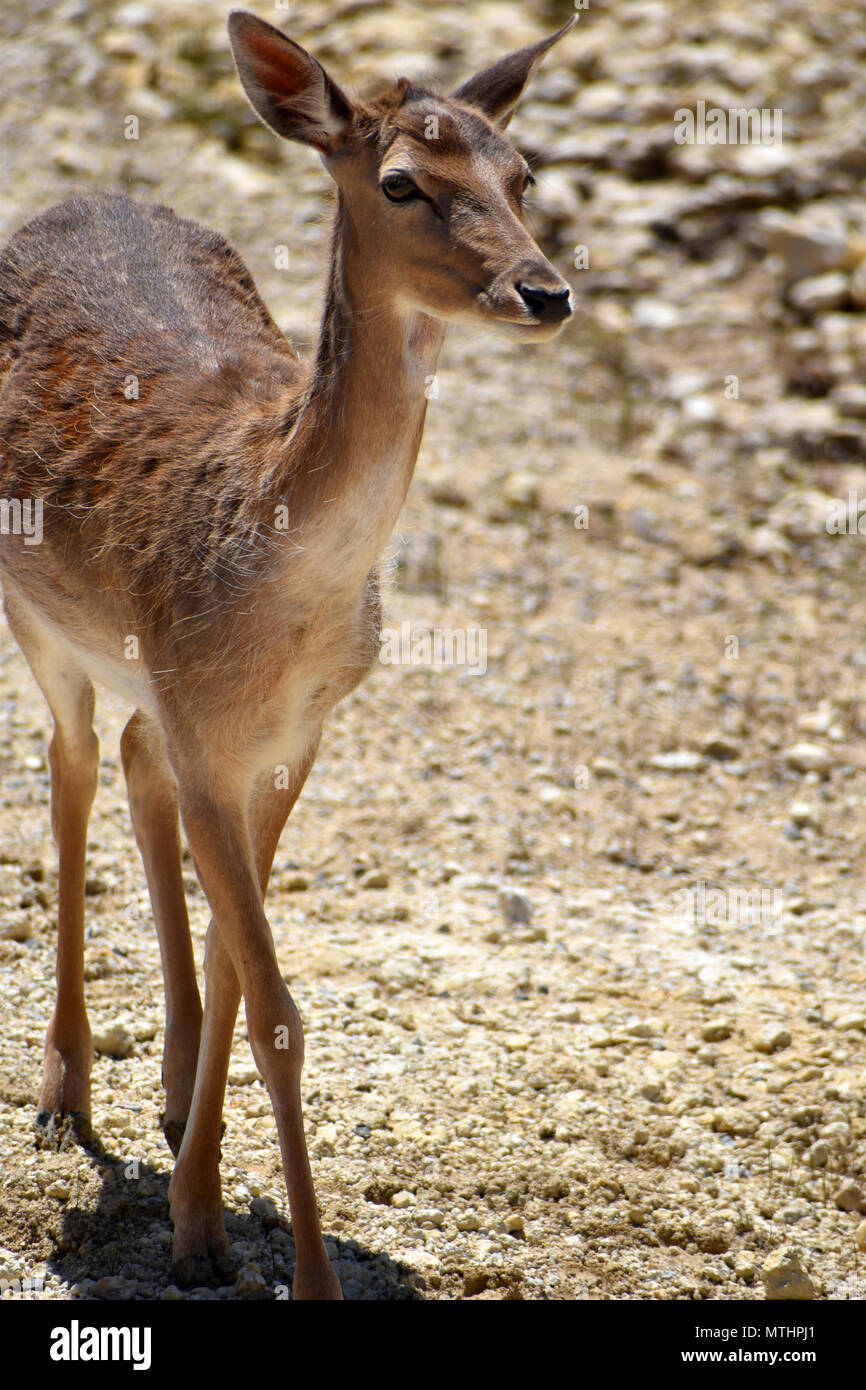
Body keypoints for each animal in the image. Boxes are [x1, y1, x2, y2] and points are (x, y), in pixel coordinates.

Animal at [0, 9, 574, 1299]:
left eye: (522, 173)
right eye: (401, 182)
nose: (546, 289)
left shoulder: (293, 734)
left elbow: (232, 965)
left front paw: (201, 1210)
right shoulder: (212, 728)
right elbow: (274, 1009)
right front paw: (276, 1261)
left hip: (153, 680)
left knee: (132, 757)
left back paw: (166, 1096)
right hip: (39, 614)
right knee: (69, 767)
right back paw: (63, 1093)